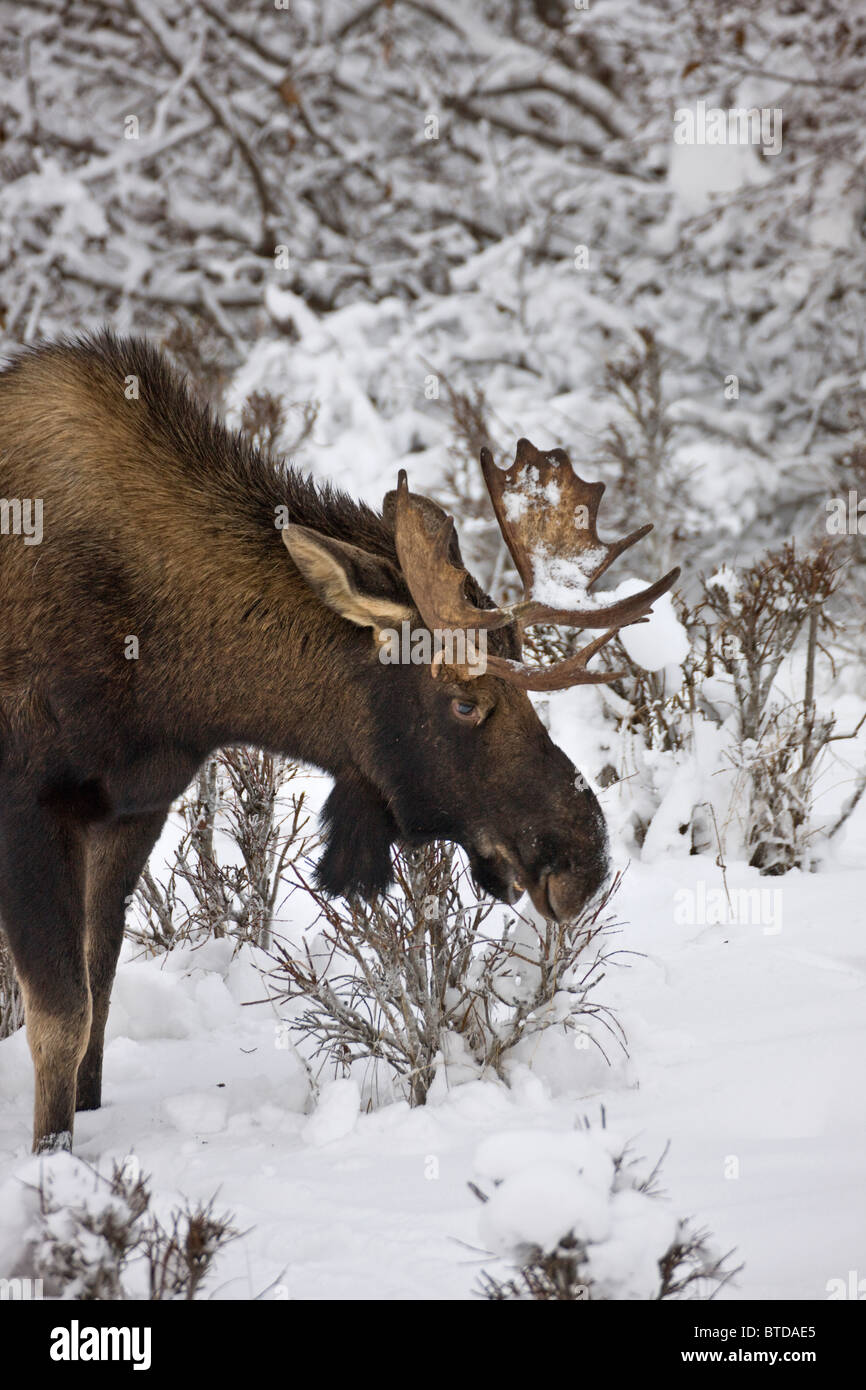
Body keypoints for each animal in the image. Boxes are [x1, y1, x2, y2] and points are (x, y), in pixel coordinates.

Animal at [0, 331, 678, 1153]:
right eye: (465, 702)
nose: (586, 857)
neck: (171, 680)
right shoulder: (30, 805)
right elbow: (61, 1017)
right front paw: (51, 1158)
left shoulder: (135, 806)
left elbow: (98, 990)